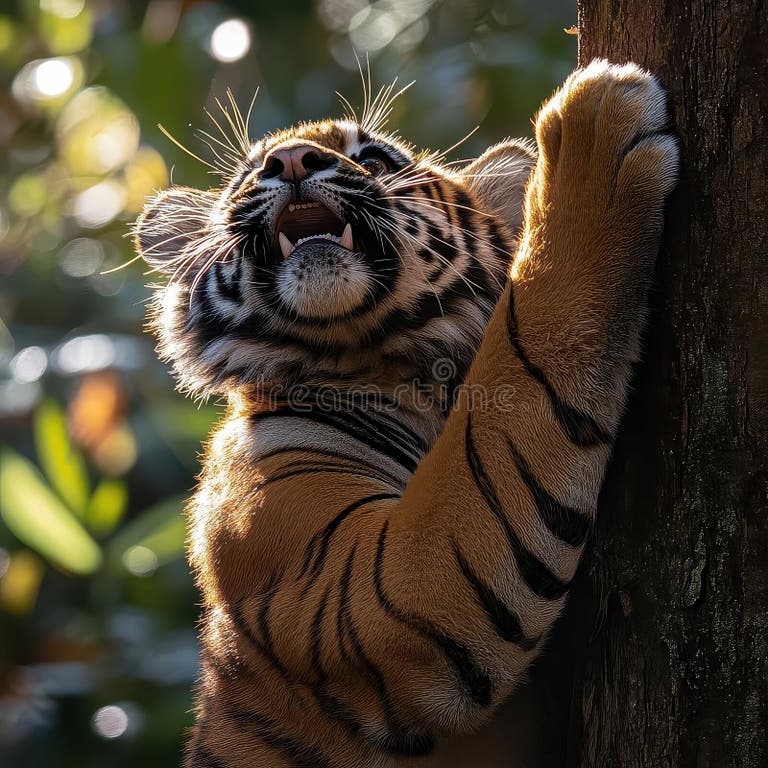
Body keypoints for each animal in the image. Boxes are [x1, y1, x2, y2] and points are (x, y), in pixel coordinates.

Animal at [134, 60, 679, 767]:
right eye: (249, 173)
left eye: (371, 156)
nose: (290, 159)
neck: (383, 360)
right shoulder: (362, 588)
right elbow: (517, 359)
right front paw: (594, 122)